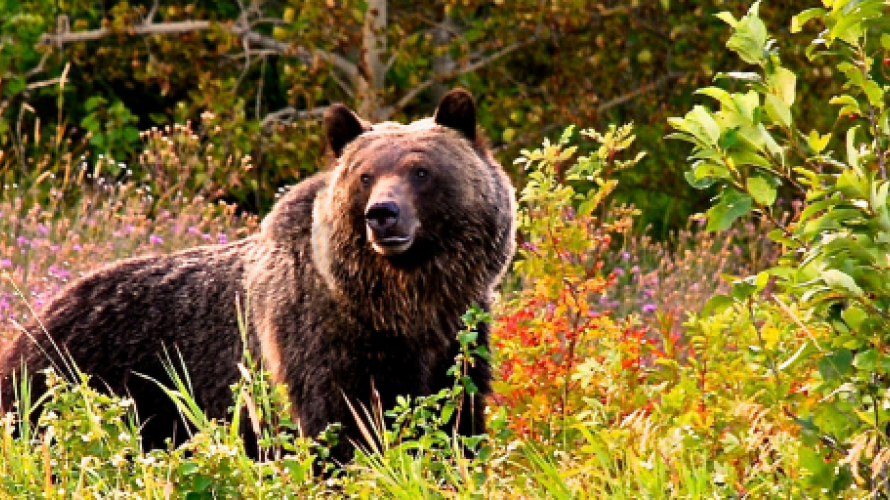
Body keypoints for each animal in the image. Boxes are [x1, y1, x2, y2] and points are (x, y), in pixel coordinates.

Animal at [0, 88, 517, 463]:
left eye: (421, 170)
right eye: (365, 175)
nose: (382, 214)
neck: (402, 301)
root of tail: (39, 315)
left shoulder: (457, 335)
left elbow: (456, 419)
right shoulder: (319, 338)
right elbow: (338, 425)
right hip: (72, 378)